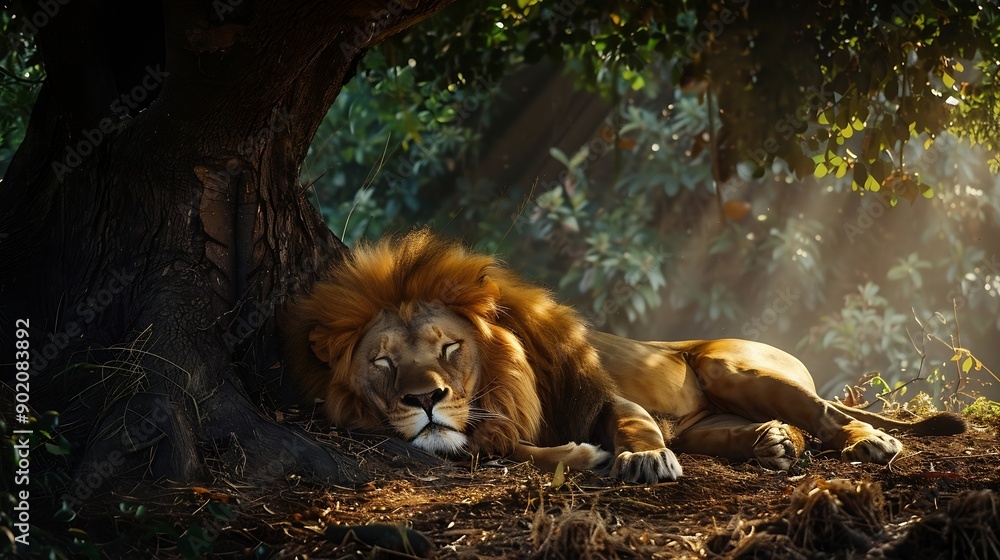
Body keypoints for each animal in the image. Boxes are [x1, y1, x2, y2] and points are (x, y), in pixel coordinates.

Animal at [280, 229, 966, 483]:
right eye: (382, 362)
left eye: (450, 348)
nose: (425, 400)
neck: (504, 383)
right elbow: (507, 447)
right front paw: (580, 455)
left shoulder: (599, 394)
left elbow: (628, 420)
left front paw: (643, 458)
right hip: (710, 421)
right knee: (770, 428)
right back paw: (770, 443)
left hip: (735, 367)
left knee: (828, 412)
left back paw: (868, 443)